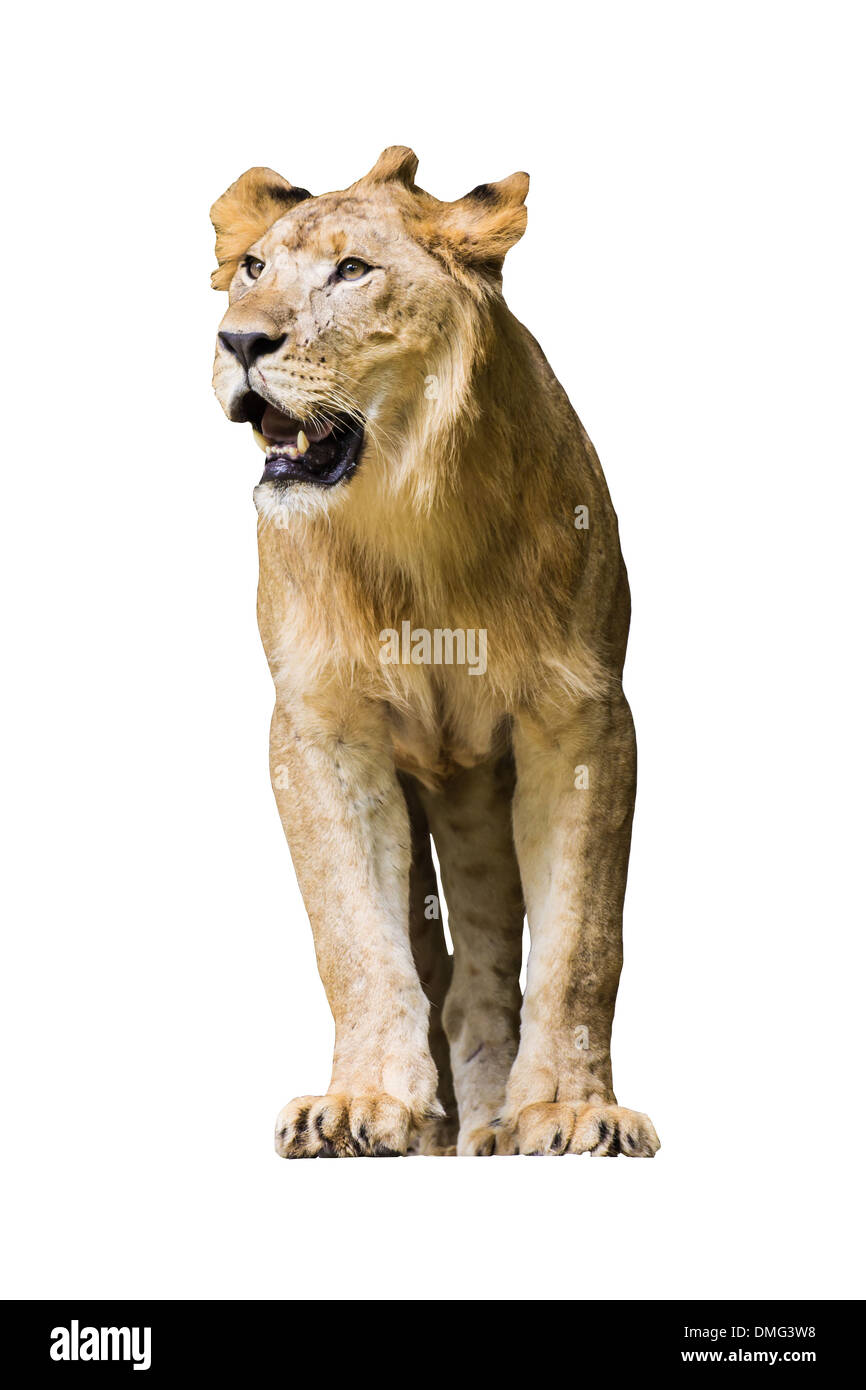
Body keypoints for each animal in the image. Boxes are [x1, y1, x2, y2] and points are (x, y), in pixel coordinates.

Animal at [210, 147, 659, 1158]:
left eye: (352, 270)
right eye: (253, 268)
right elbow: (353, 938)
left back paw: (489, 1121)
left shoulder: (583, 721)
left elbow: (582, 941)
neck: (412, 524)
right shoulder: (320, 728)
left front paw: (569, 1109)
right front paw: (362, 1102)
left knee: (483, 975)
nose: (240, 342)